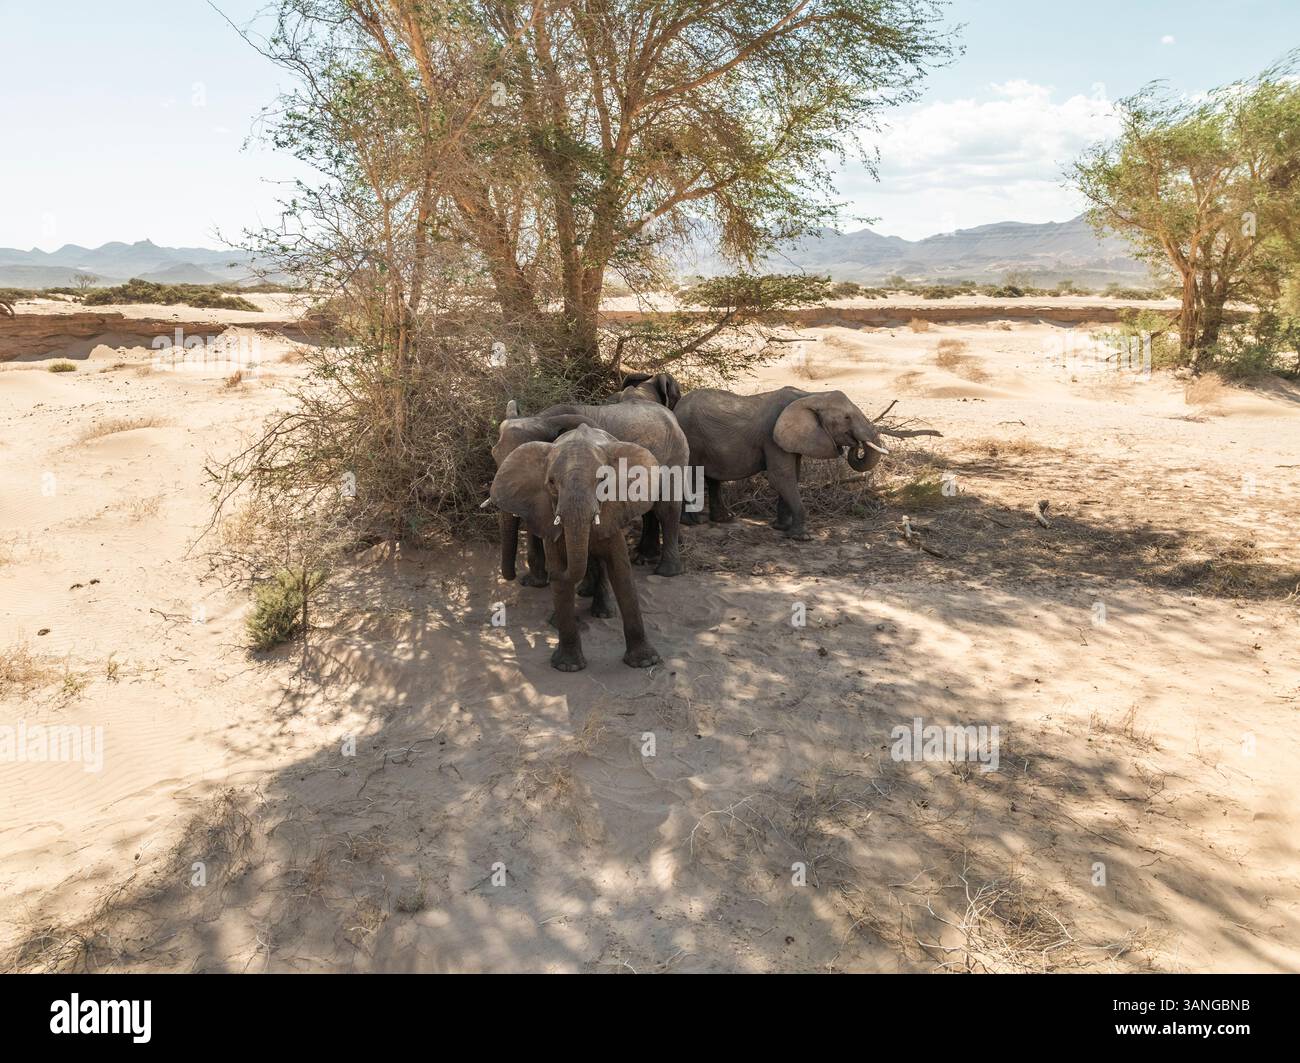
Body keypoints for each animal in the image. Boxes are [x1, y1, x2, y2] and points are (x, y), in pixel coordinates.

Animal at [491, 424, 663, 672]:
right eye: (552, 483)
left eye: (603, 480)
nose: (546, 576)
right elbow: (563, 574)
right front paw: (568, 667)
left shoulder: (613, 511)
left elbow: (621, 571)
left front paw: (645, 662)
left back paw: (602, 612)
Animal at [492, 398, 691, 590]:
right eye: (494, 456)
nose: (512, 577)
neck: (541, 419)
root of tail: (671, 415)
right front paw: (534, 583)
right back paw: (643, 558)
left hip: (676, 452)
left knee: (666, 508)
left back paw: (666, 571)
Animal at [673, 386, 889, 540]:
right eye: (846, 417)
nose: (856, 445)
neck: (810, 395)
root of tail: (675, 407)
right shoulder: (772, 437)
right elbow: (781, 477)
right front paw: (802, 538)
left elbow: (793, 476)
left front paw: (781, 528)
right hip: (690, 437)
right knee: (689, 475)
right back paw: (691, 522)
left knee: (712, 479)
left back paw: (725, 519)